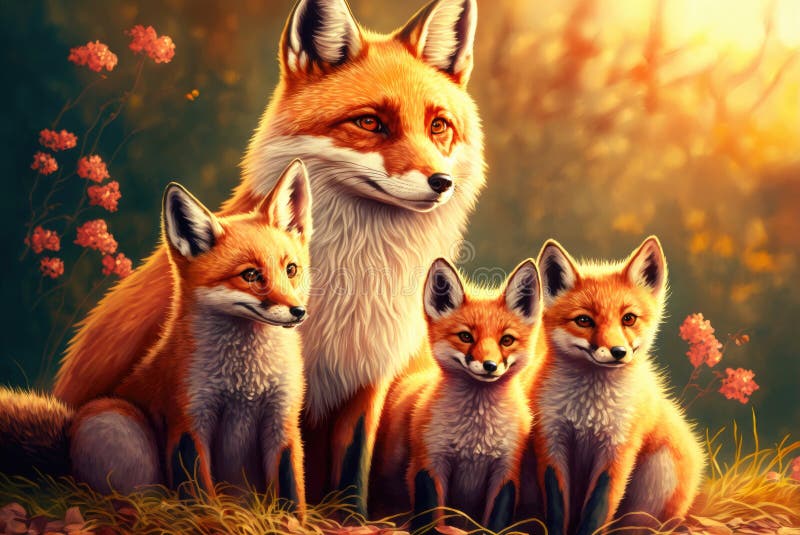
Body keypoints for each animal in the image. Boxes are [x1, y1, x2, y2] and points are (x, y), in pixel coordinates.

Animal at [2, 161, 312, 513]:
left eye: (291, 270)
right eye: (250, 275)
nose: (298, 311)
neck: (245, 384)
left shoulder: (283, 423)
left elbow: (291, 491)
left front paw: (292, 520)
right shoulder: (186, 421)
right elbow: (198, 492)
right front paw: (209, 518)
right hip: (115, 420)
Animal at [52, 0, 484, 512]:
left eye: (439, 126)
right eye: (370, 123)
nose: (441, 182)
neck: (353, 289)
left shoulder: (366, 382)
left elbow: (352, 468)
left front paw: (347, 515)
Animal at [370, 258, 542, 532]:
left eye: (506, 340)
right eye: (465, 336)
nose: (490, 366)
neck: (476, 439)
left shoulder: (506, 470)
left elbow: (495, 523)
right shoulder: (429, 463)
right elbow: (431, 518)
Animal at [522, 237, 704, 535]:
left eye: (628, 318)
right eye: (584, 320)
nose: (618, 352)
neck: (588, 414)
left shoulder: (618, 450)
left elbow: (597, 512)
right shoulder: (550, 443)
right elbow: (557, 511)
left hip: (658, 478)